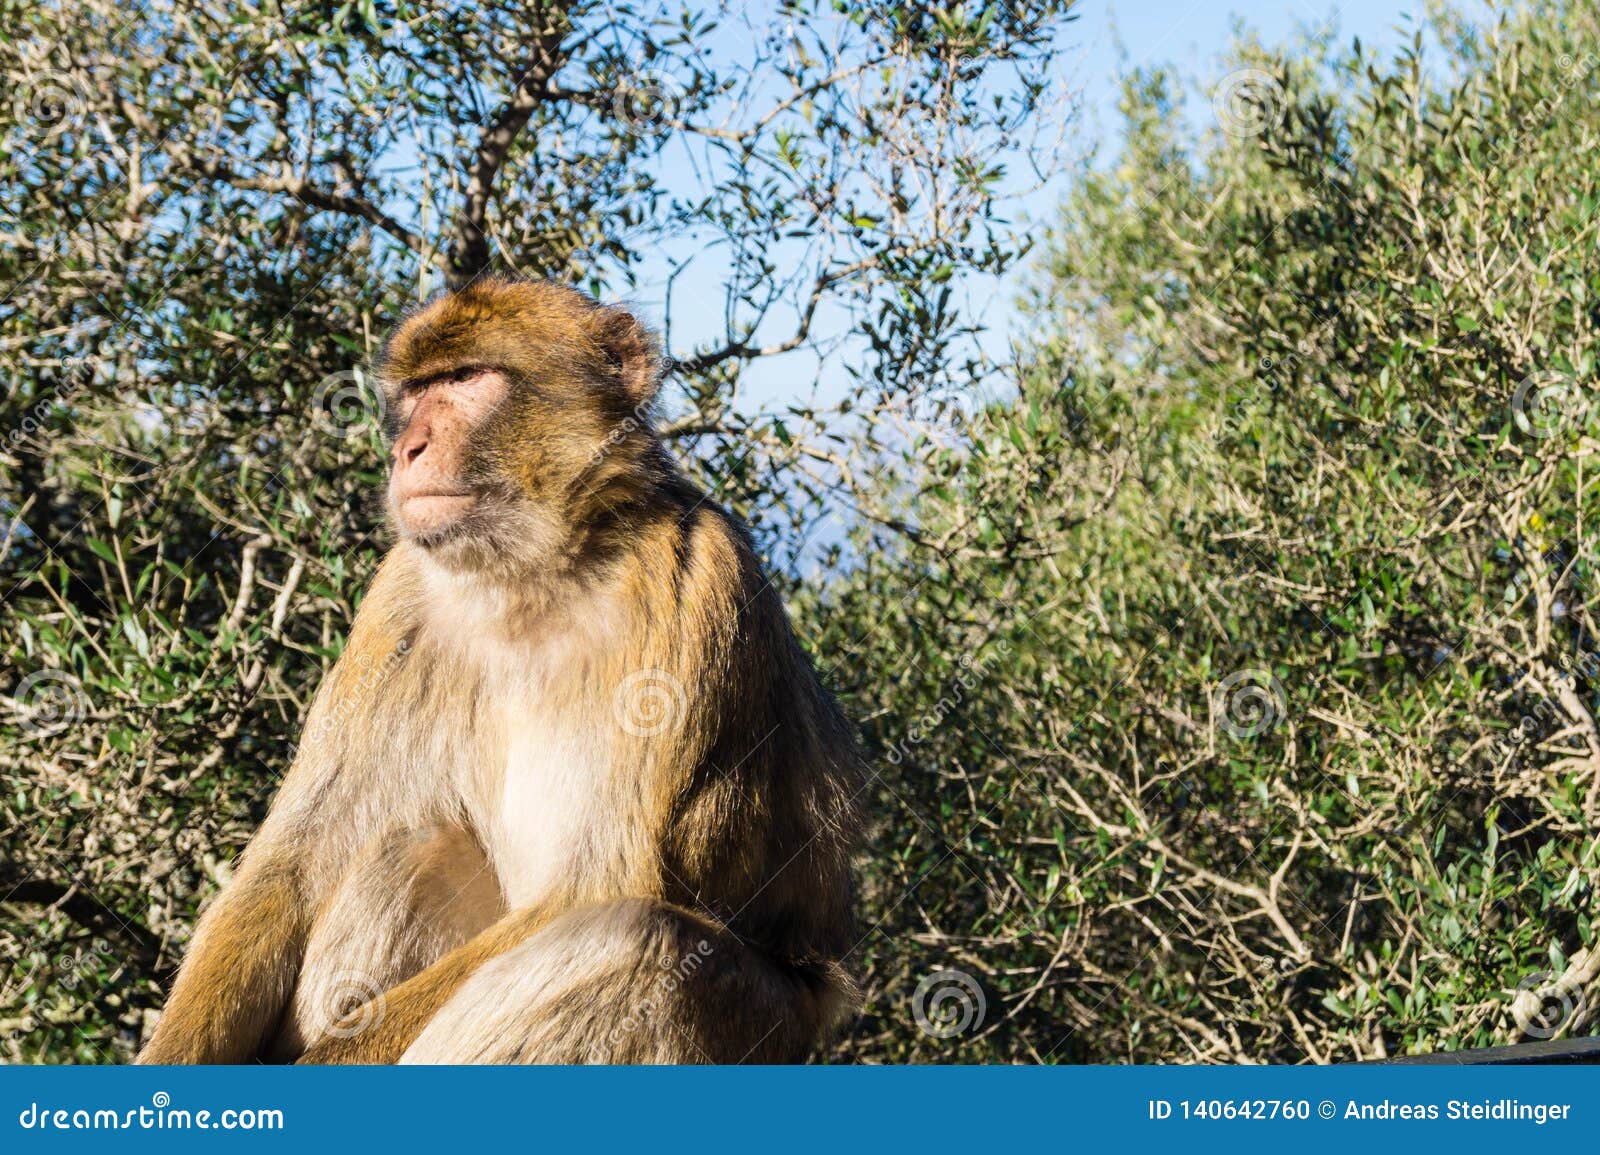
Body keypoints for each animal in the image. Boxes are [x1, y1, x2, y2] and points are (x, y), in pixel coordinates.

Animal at [136, 278, 864, 1064]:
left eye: (466, 379)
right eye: (418, 389)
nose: (408, 448)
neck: (530, 578)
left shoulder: (692, 582)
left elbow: (591, 889)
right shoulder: (397, 599)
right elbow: (294, 865)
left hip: (765, 1032)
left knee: (642, 944)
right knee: (415, 853)